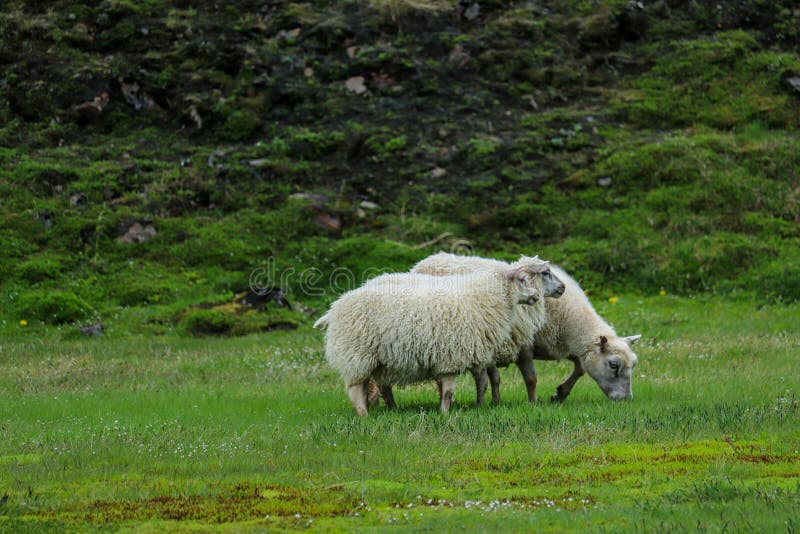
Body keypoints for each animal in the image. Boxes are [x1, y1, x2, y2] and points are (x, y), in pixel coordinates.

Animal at [314, 265, 547, 415]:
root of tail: (334, 309)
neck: (483, 299)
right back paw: (364, 415)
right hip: (356, 354)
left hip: (372, 359)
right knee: (354, 389)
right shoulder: (452, 355)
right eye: (522, 280)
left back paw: (387, 409)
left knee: (369, 386)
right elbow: (449, 391)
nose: (536, 296)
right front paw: (444, 413)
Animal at [411, 253, 642, 402]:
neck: (568, 319)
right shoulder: (524, 344)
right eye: (614, 365)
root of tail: (425, 261)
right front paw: (533, 403)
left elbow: (580, 368)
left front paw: (560, 393)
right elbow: (531, 378)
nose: (626, 399)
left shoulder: (566, 345)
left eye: (633, 365)